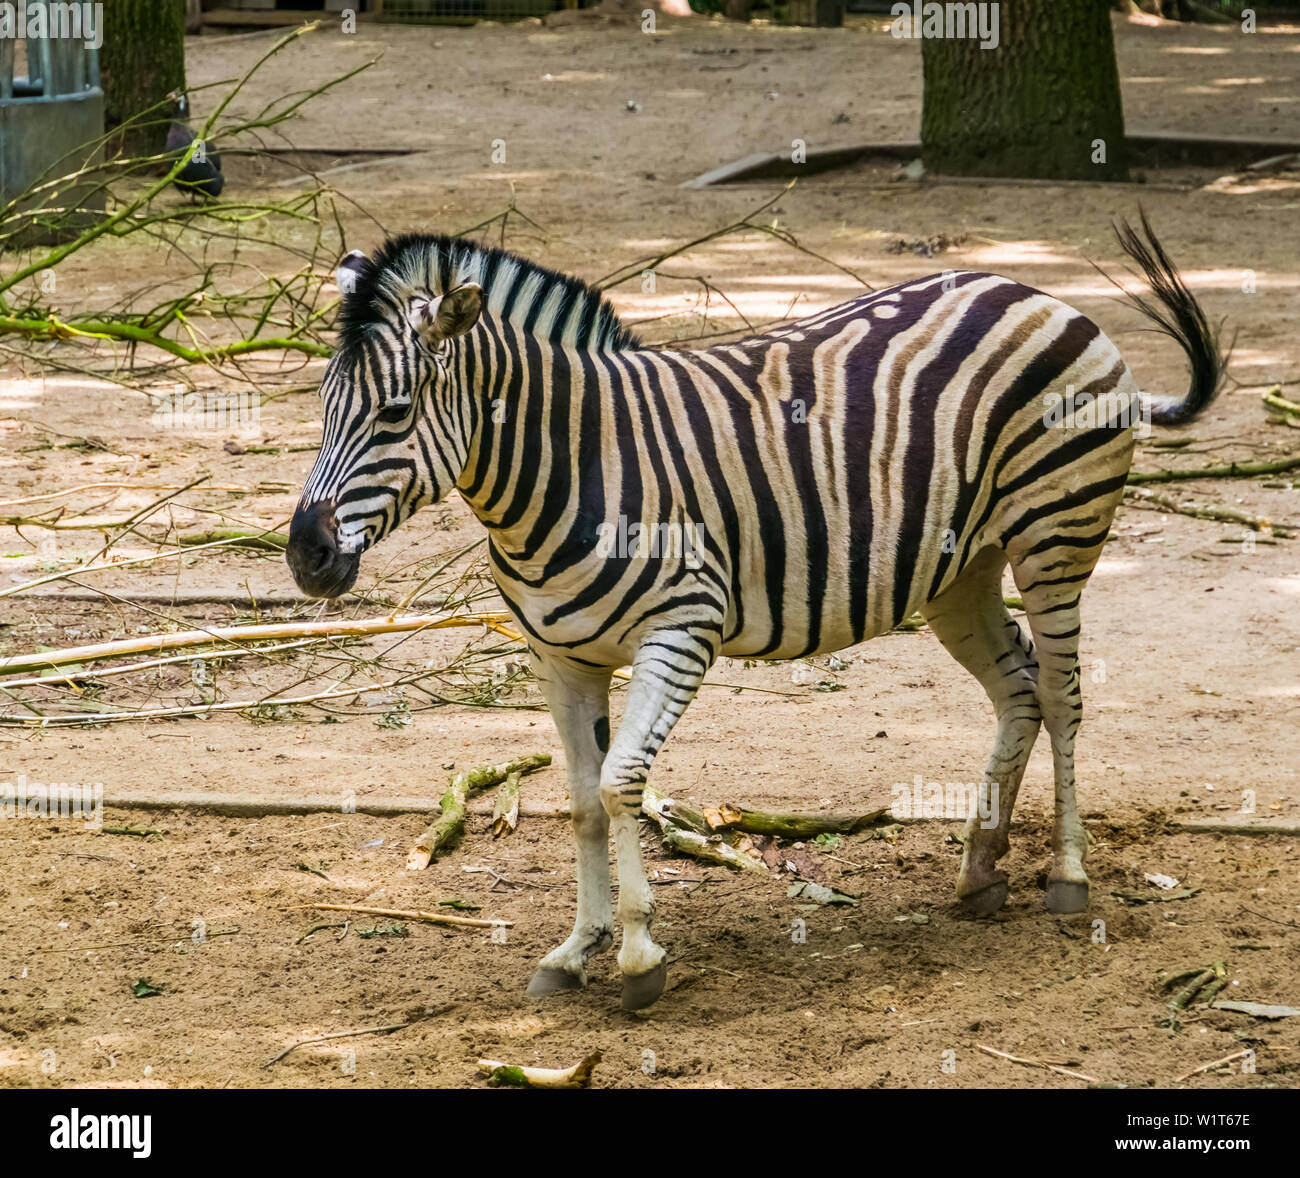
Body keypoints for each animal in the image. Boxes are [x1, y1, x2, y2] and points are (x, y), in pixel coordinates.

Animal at [287, 214, 1223, 1011]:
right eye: (322, 407)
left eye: (395, 413)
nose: (305, 555)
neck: (570, 466)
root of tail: (1035, 292)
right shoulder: (560, 655)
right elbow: (584, 800)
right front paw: (575, 948)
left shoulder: (680, 630)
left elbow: (623, 783)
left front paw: (639, 957)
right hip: (960, 570)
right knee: (1019, 689)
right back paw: (980, 869)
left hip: (1055, 539)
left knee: (1063, 698)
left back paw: (1067, 876)